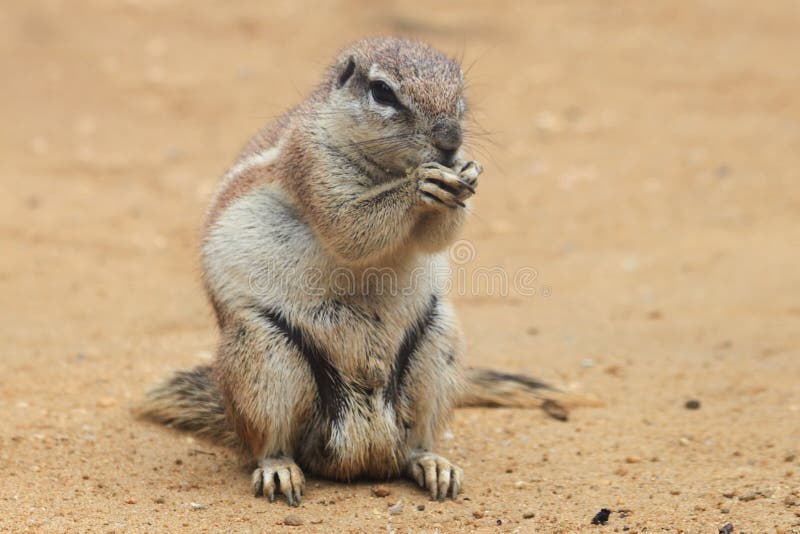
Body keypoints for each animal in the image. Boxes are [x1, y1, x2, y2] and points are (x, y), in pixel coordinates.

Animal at [139, 36, 571, 506]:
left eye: (461, 95)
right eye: (382, 92)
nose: (451, 142)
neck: (387, 169)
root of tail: (363, 446)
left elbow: (434, 239)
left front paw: (466, 174)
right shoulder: (311, 163)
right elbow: (347, 227)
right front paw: (420, 186)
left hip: (437, 342)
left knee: (414, 441)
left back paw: (432, 464)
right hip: (262, 354)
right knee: (270, 443)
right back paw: (279, 470)